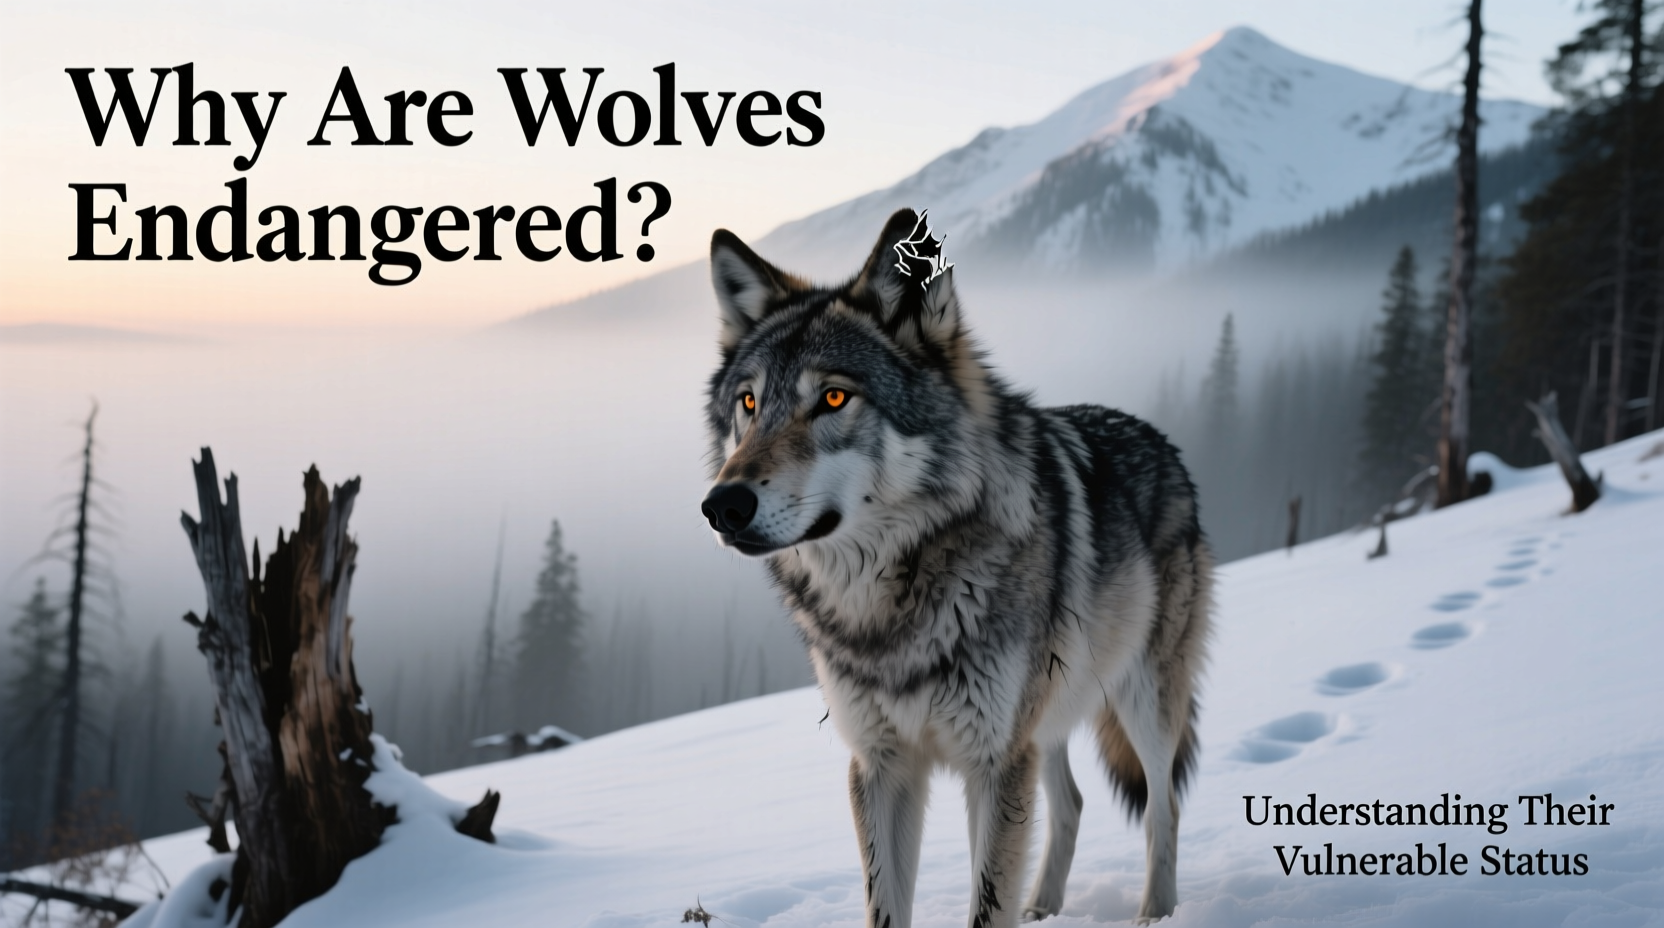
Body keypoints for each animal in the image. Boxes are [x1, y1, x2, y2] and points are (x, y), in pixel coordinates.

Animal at [699, 209, 1212, 927]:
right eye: (748, 404)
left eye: (833, 399)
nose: (722, 505)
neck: (888, 611)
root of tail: (1162, 441)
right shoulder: (882, 765)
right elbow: (888, 906)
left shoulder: (993, 761)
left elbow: (987, 903)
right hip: (1050, 719)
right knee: (1073, 802)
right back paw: (1043, 908)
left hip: (1141, 703)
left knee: (1164, 805)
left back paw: (1155, 913)